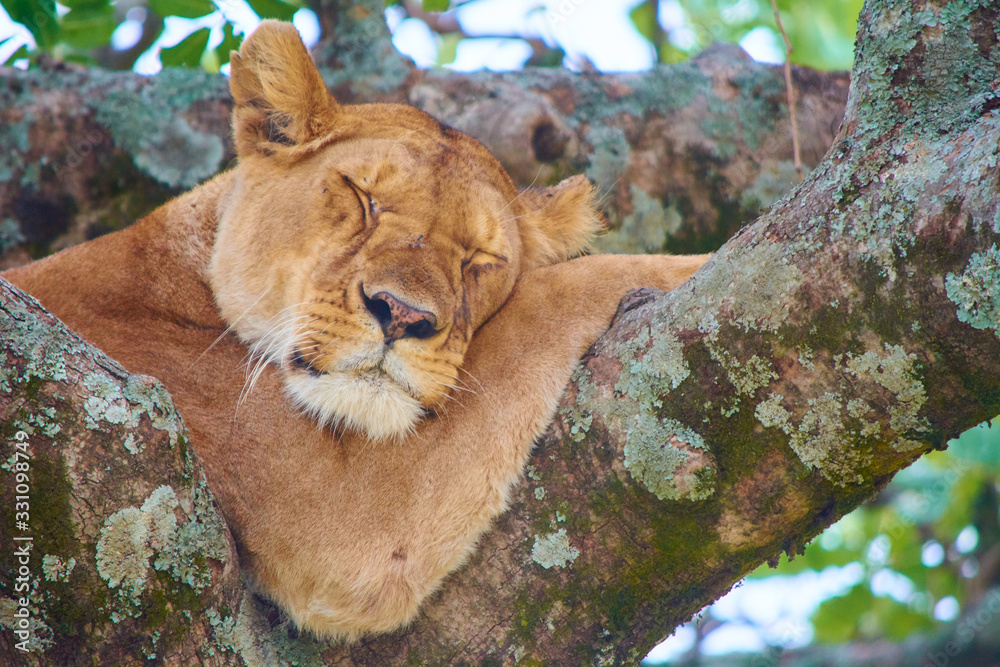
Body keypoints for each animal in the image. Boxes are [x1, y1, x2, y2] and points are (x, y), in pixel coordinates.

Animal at [3, 21, 709, 639]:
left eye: (480, 259)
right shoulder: (338, 522)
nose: (402, 314)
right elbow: (550, 298)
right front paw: (700, 263)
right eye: (361, 196)